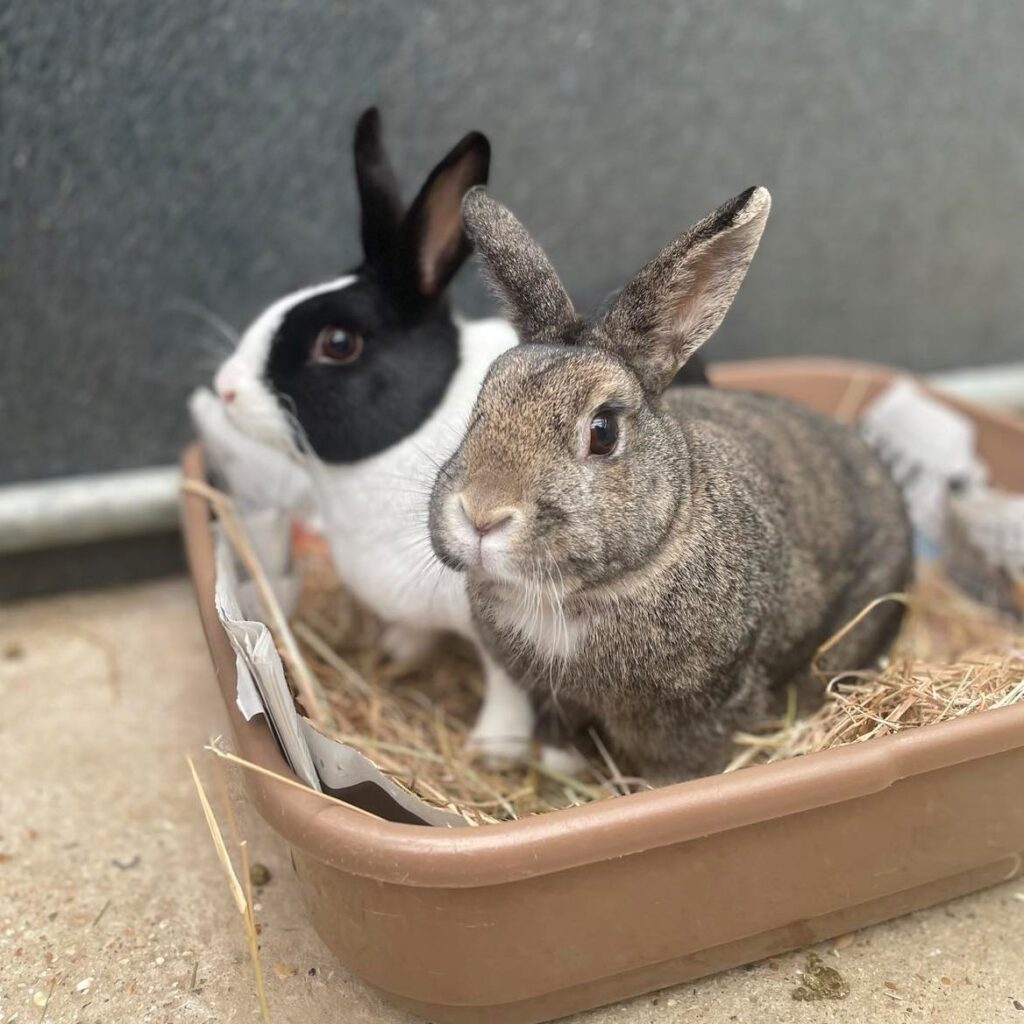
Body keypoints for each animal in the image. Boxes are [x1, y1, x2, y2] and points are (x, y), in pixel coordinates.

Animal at [428, 185, 913, 783]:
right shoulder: (552, 697)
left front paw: (661, 788)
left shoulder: (698, 710)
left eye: (603, 431)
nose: (480, 513)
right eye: (480, 407)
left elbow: (683, 764)